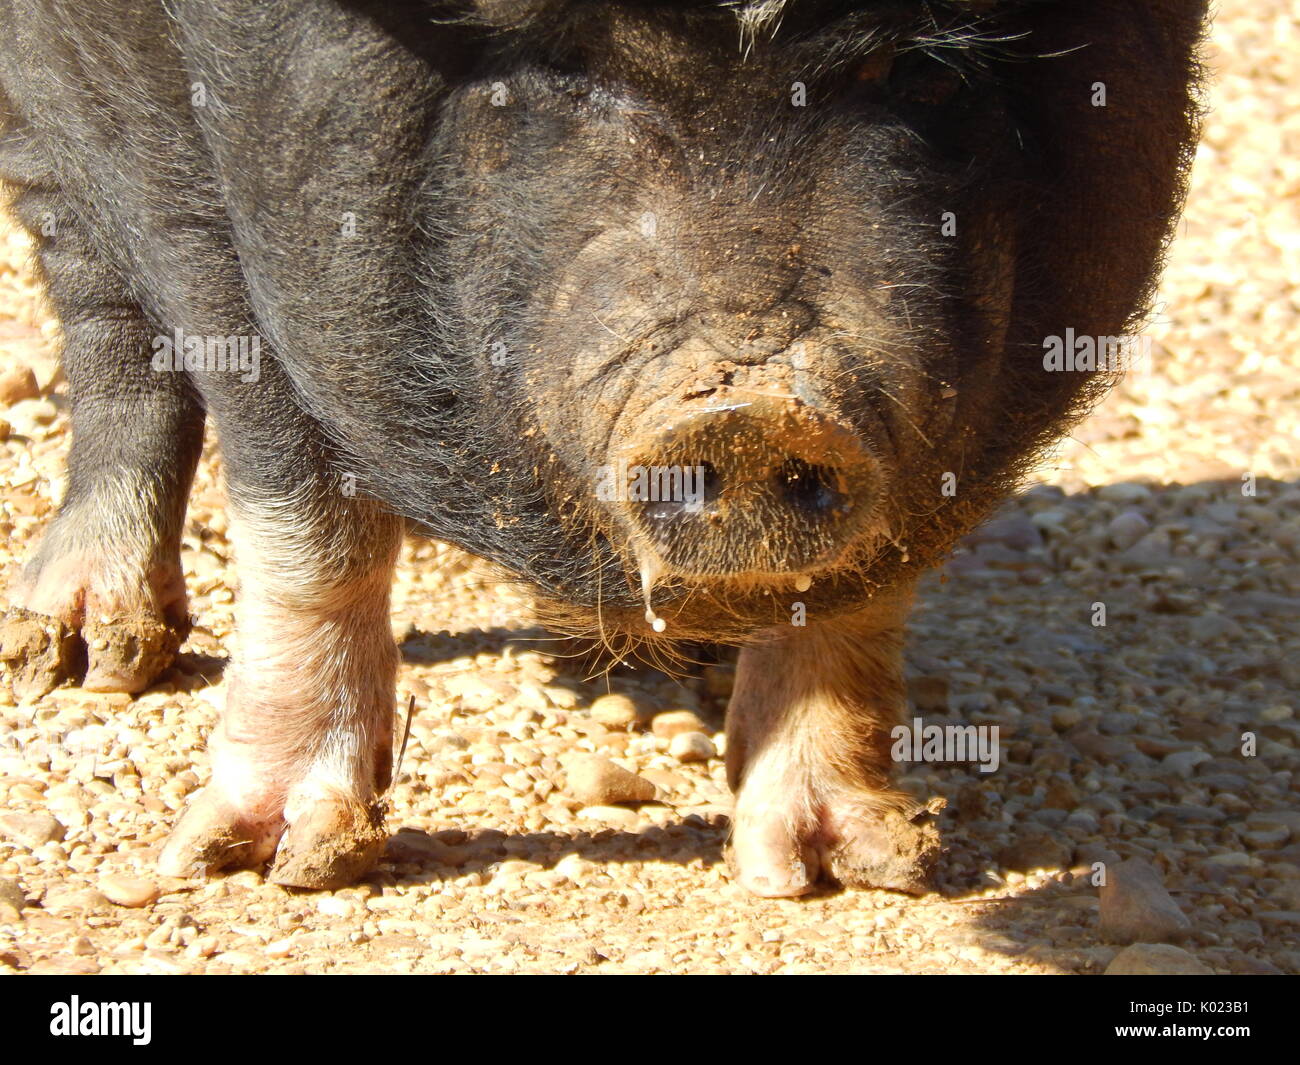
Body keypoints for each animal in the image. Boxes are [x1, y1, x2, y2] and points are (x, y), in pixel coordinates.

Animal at [0, 0, 1208, 895]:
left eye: (926, 70)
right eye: (562, 58)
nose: (753, 407)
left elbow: (872, 573)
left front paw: (849, 869)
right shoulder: (190, 145)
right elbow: (298, 491)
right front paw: (272, 862)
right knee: (97, 292)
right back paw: (84, 658)